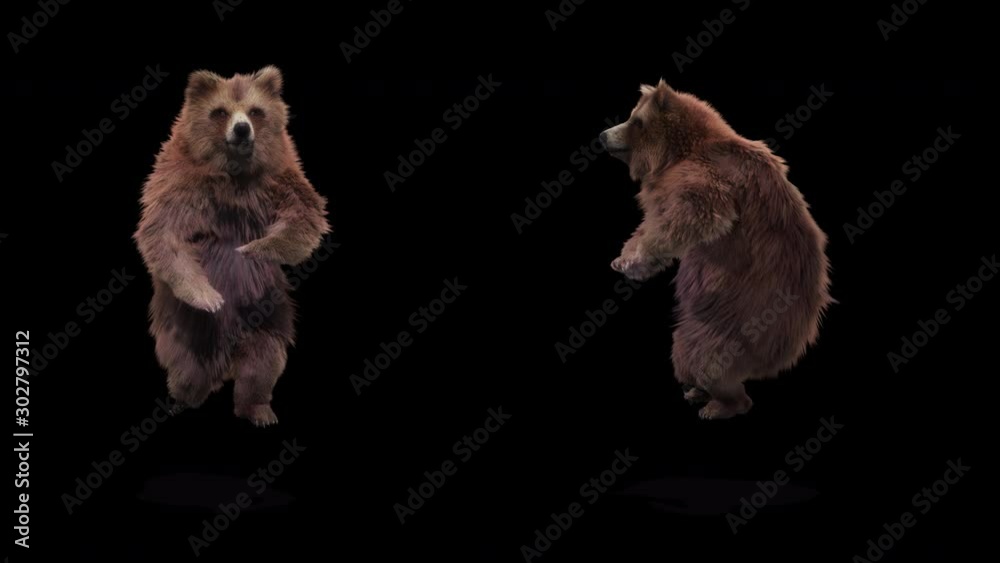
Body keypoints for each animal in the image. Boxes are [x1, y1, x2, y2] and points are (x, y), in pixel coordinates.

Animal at [134, 66, 329, 427]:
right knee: (187, 364)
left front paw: (253, 248)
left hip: (267, 312)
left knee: (263, 358)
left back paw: (259, 408)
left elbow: (305, 216)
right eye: (220, 111)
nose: (241, 129)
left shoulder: (282, 176)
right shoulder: (179, 179)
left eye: (255, 111)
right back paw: (182, 397)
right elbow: (163, 232)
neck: (235, 172)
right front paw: (207, 295)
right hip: (183, 324)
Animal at [600, 80, 832, 420]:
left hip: (741, 319)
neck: (675, 154)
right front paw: (623, 259)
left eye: (635, 120)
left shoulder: (707, 177)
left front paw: (634, 259)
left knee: (703, 355)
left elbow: (692, 216)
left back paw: (718, 404)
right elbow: (652, 221)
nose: (603, 135)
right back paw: (697, 391)